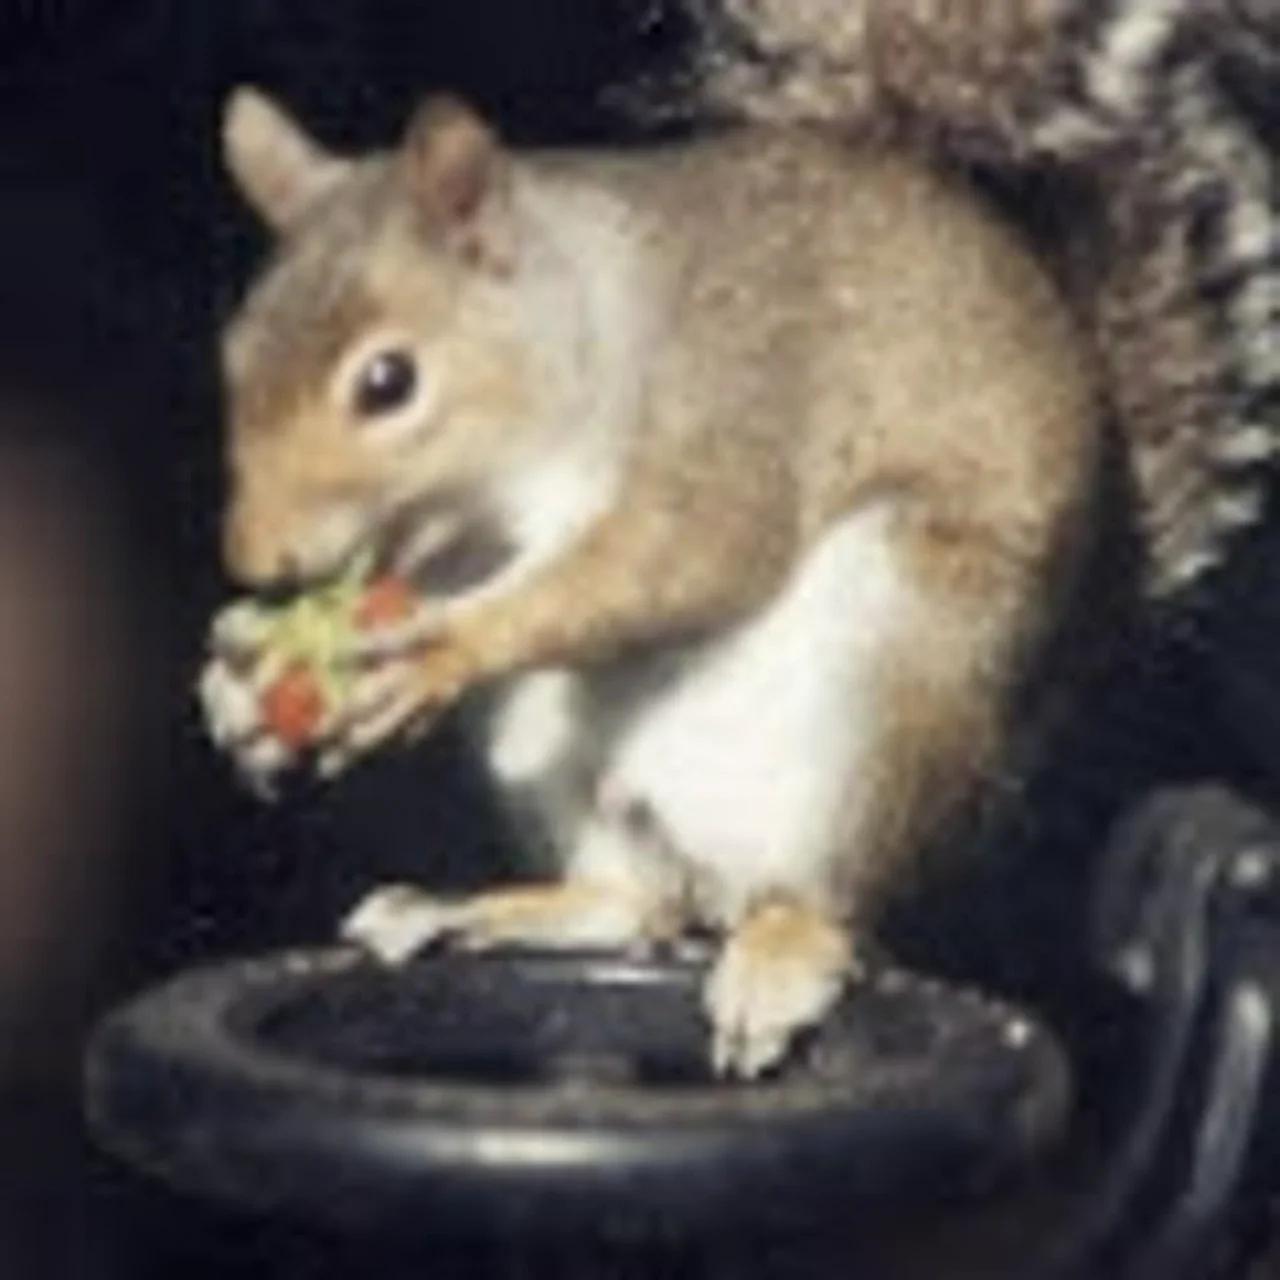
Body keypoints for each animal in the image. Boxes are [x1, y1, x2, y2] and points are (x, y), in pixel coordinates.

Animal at [200, 83, 1100, 1078]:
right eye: (233, 357)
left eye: (388, 382)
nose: (255, 560)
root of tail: (716, 870)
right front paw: (239, 687)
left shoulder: (730, 407)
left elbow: (682, 558)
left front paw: (441, 651)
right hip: (552, 758)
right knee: (635, 904)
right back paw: (471, 906)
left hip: (901, 670)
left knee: (829, 893)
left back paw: (787, 949)